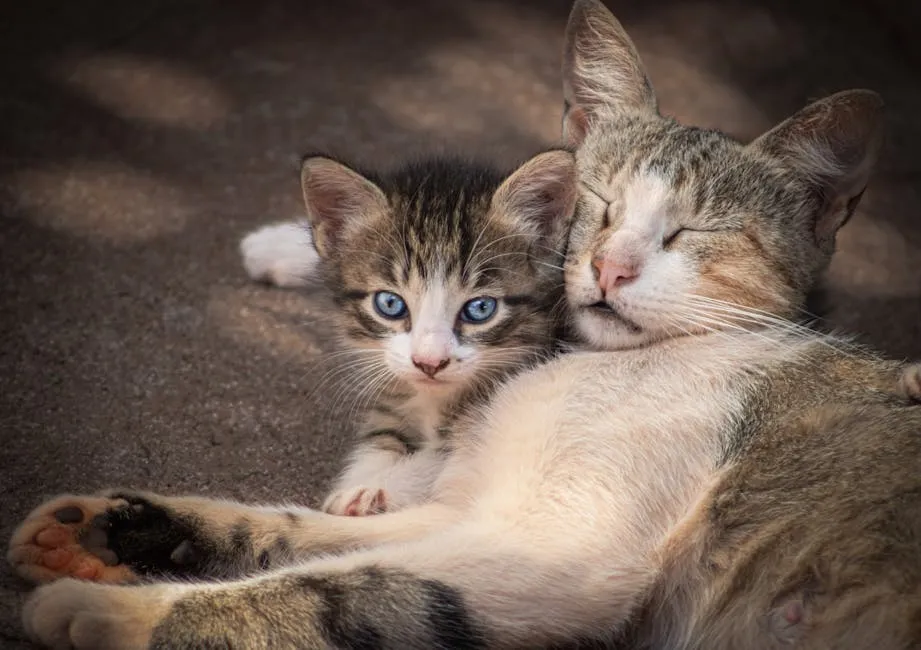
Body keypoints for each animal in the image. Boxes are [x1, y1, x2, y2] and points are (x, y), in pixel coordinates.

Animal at [244, 152, 576, 516]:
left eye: (480, 308)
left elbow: (456, 456)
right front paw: (368, 478)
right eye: (390, 304)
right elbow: (383, 431)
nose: (429, 363)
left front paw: (369, 489)